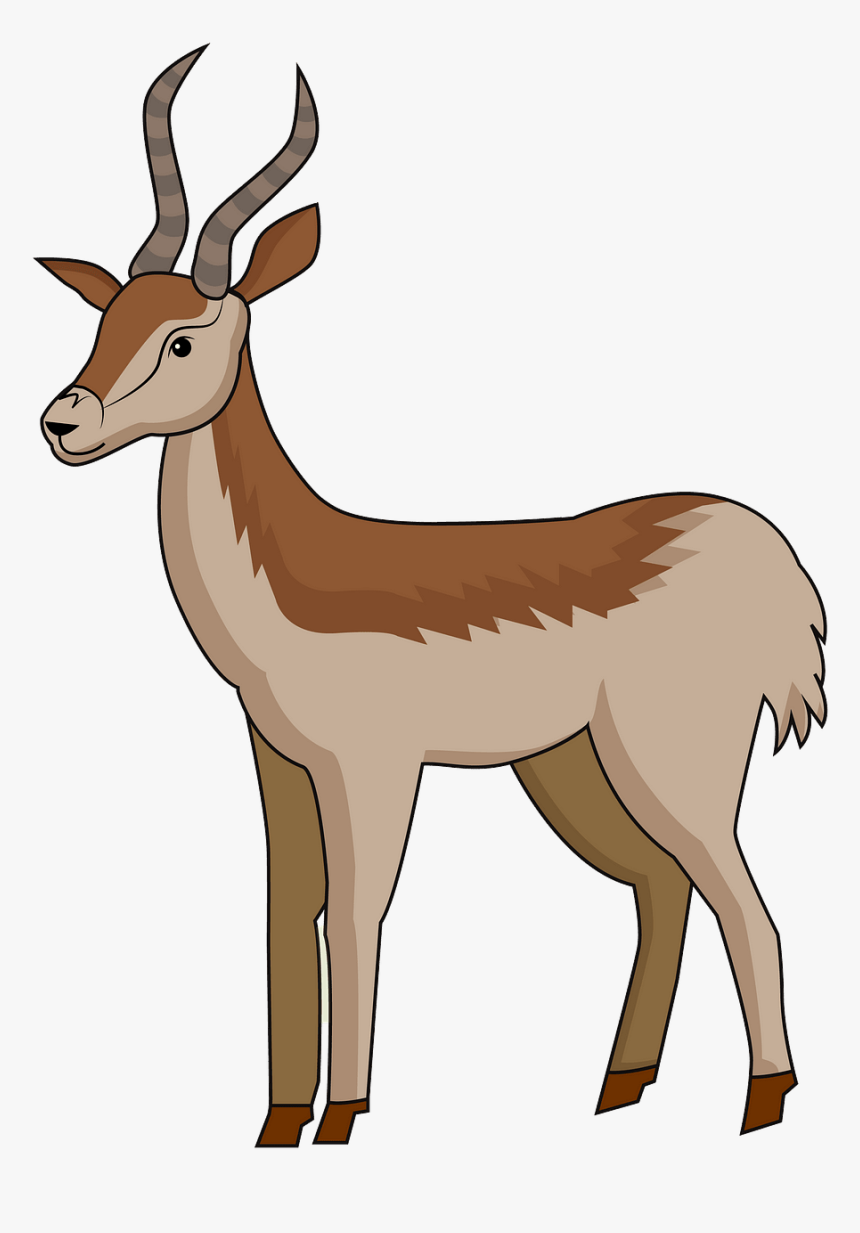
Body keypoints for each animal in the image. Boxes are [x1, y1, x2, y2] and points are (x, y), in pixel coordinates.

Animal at [39, 48, 825, 1146]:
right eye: (106, 319)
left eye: (183, 339)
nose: (61, 422)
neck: (284, 580)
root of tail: (753, 552)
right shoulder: (278, 764)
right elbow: (287, 915)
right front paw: (278, 1126)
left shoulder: (372, 766)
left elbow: (356, 914)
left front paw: (342, 1119)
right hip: (571, 765)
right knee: (661, 886)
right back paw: (616, 1090)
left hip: (670, 762)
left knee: (745, 904)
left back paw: (759, 1105)